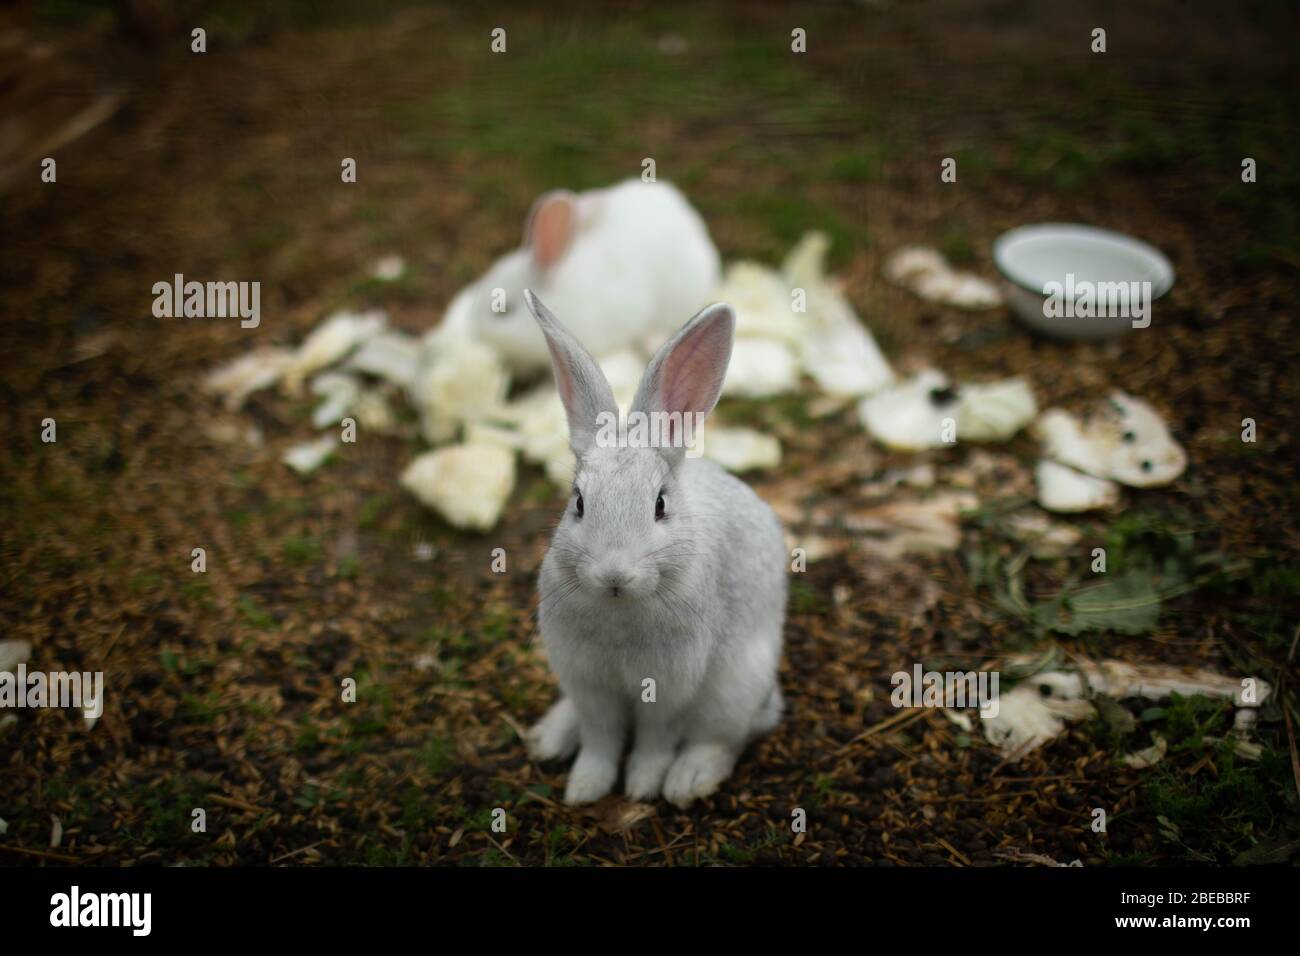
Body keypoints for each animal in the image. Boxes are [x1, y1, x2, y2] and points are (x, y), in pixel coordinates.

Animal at [520, 289, 787, 807]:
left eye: (660, 505)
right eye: (578, 503)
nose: (613, 575)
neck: (619, 611)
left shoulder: (668, 689)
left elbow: (653, 738)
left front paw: (642, 786)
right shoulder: (589, 684)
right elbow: (601, 738)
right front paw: (585, 788)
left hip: (736, 687)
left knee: (722, 739)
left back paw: (689, 779)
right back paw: (549, 737)